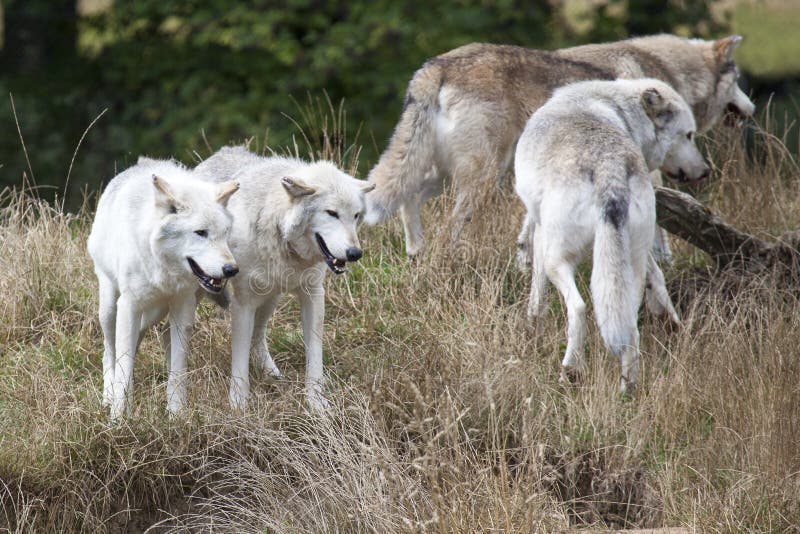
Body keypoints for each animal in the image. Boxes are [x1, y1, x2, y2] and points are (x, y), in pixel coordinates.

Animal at [88, 157, 240, 419]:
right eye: (200, 232)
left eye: (225, 233)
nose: (231, 269)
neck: (165, 270)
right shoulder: (128, 305)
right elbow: (123, 364)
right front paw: (118, 419)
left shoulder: (183, 306)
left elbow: (177, 369)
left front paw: (176, 415)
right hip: (109, 308)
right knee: (110, 352)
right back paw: (108, 396)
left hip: (156, 313)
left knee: (144, 340)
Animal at [193, 147, 374, 411]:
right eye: (332, 213)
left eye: (356, 216)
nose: (355, 254)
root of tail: (218, 154)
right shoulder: (243, 303)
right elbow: (239, 358)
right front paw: (238, 405)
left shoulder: (313, 295)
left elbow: (315, 355)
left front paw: (317, 404)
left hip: (271, 298)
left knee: (258, 336)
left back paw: (270, 372)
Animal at [364, 34, 754, 261]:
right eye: (688, 136)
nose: (751, 110)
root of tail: (435, 66)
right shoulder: (646, 174)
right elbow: (658, 236)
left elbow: (530, 234)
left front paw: (526, 261)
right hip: (481, 179)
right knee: (445, 227)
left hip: (446, 175)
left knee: (408, 199)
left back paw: (416, 254)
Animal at [514, 78, 707, 392]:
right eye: (689, 135)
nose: (705, 171)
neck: (618, 108)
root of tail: (610, 168)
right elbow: (659, 277)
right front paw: (672, 322)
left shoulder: (541, 236)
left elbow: (537, 294)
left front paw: (532, 328)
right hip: (627, 264)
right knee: (630, 329)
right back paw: (627, 390)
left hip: (559, 261)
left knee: (579, 309)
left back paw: (571, 372)